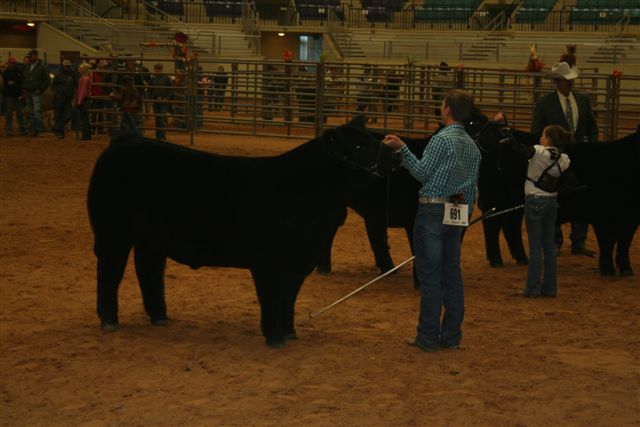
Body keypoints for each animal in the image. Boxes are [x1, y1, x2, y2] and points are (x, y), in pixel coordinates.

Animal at [86, 117, 402, 348]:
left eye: (372, 139)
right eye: (359, 147)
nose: (396, 152)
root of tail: (126, 141)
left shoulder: (299, 262)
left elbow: (289, 299)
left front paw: (290, 332)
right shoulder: (268, 263)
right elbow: (272, 299)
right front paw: (274, 337)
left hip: (151, 239)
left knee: (149, 270)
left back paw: (159, 317)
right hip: (111, 232)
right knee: (109, 273)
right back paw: (108, 320)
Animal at [475, 119, 640, 276]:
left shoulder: (630, 218)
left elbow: (624, 243)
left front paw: (626, 269)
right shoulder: (601, 215)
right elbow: (607, 242)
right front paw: (607, 270)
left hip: (512, 203)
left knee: (510, 226)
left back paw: (521, 258)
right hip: (494, 198)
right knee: (492, 225)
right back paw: (496, 260)